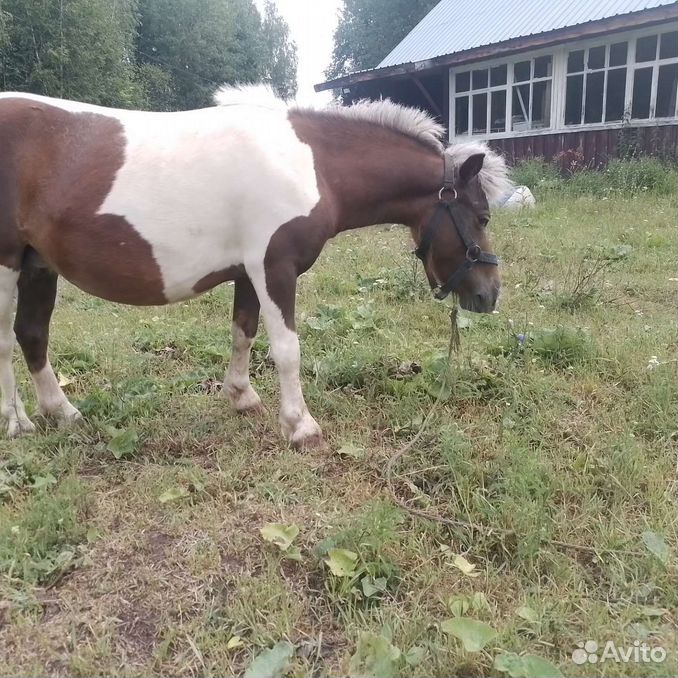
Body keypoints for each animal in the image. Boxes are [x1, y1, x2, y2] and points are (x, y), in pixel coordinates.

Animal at [0, 85, 511, 447]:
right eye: (483, 217)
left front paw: (242, 397)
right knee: (6, 341)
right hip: (6, 264)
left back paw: (63, 413)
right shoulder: (274, 267)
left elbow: (242, 332)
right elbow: (286, 349)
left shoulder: (248, 271)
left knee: (32, 334)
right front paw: (301, 426)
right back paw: (19, 423)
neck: (311, 164)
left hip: (39, 264)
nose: (488, 295)